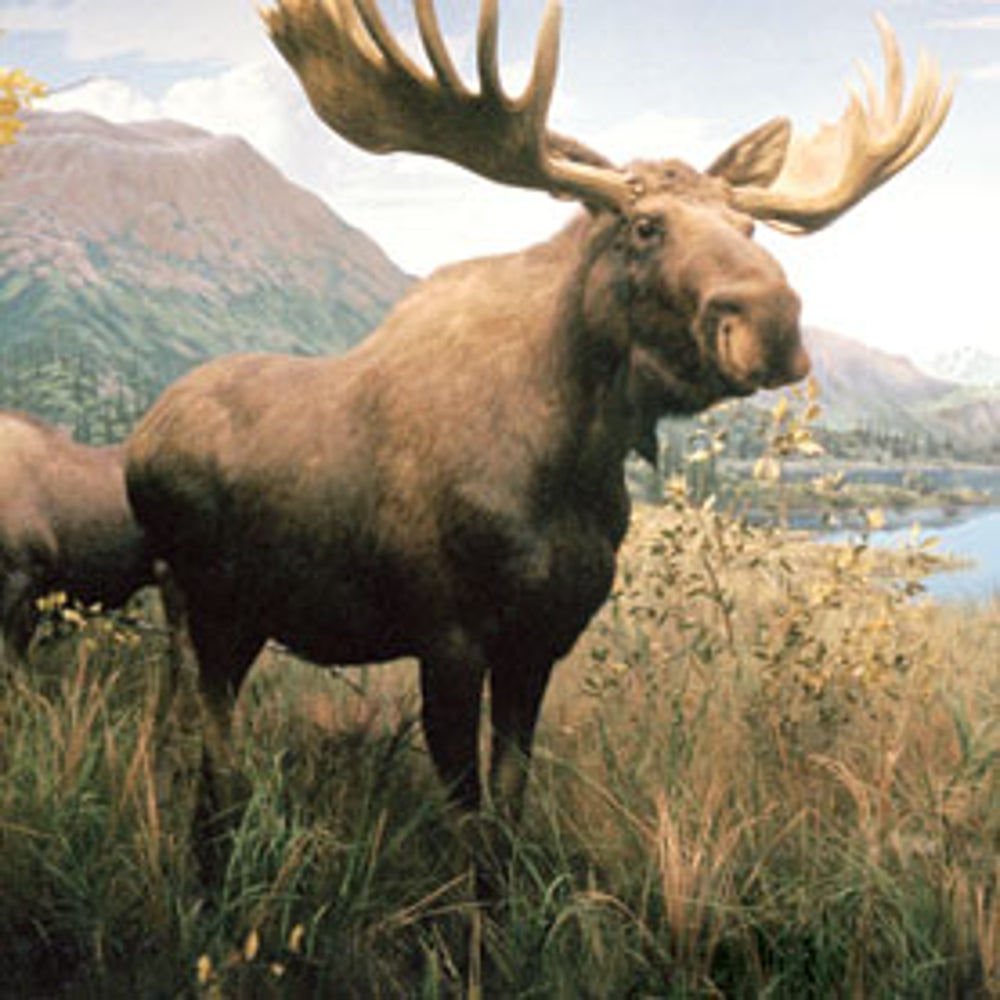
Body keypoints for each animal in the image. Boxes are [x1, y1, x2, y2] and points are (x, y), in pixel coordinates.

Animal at [125, 0, 951, 828]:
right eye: (644, 224)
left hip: (218, 615)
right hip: (206, 604)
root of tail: (138, 443)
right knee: (210, 748)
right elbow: (469, 815)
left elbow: (511, 802)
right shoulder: (448, 635)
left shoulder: (544, 636)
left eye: (747, 227)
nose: (773, 320)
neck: (571, 463)